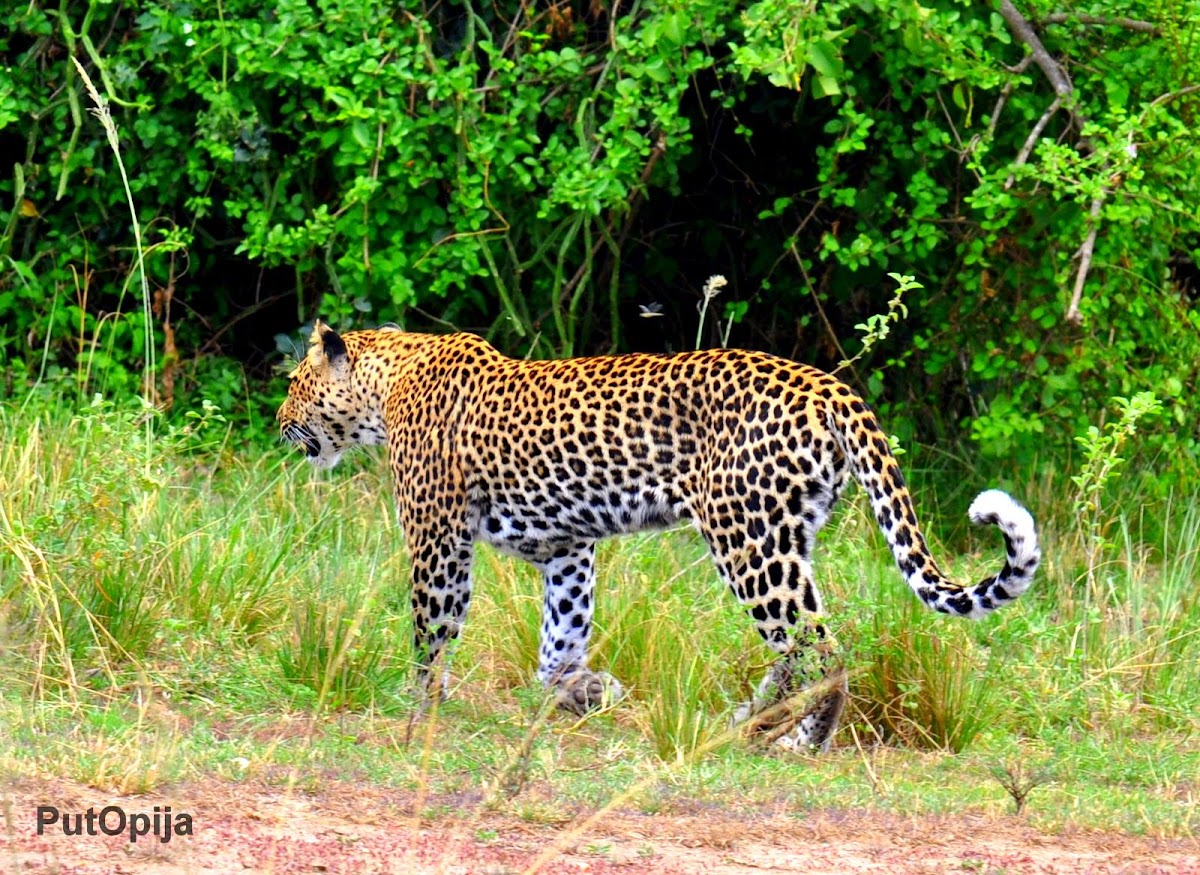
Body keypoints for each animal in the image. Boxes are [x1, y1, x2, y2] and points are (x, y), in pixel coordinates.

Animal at [277, 321, 1040, 751]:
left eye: (293, 382)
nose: (279, 423)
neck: (386, 381)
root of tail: (828, 385)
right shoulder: (569, 548)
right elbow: (560, 637)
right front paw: (578, 692)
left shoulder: (437, 536)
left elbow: (432, 628)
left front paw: (421, 710)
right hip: (788, 536)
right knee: (800, 643)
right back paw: (748, 718)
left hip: (747, 537)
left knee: (821, 647)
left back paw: (800, 740)